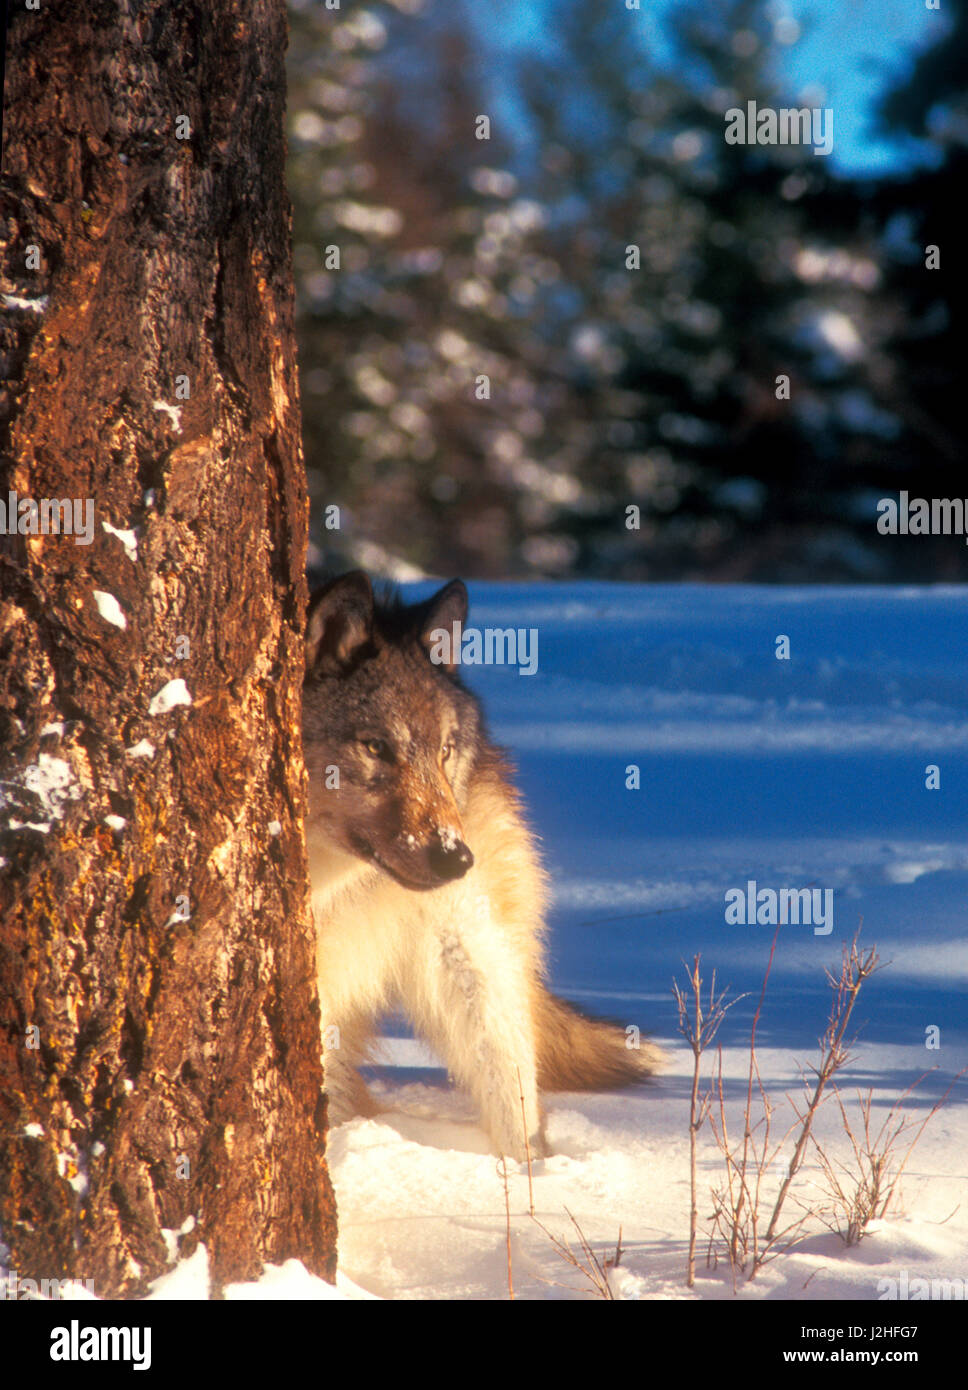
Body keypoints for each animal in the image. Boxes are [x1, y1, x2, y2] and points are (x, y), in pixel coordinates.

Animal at [302, 571, 662, 1160]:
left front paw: (529, 1176)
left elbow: (514, 1089)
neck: (339, 883)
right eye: (376, 747)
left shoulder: (460, 940)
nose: (455, 858)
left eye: (445, 750)